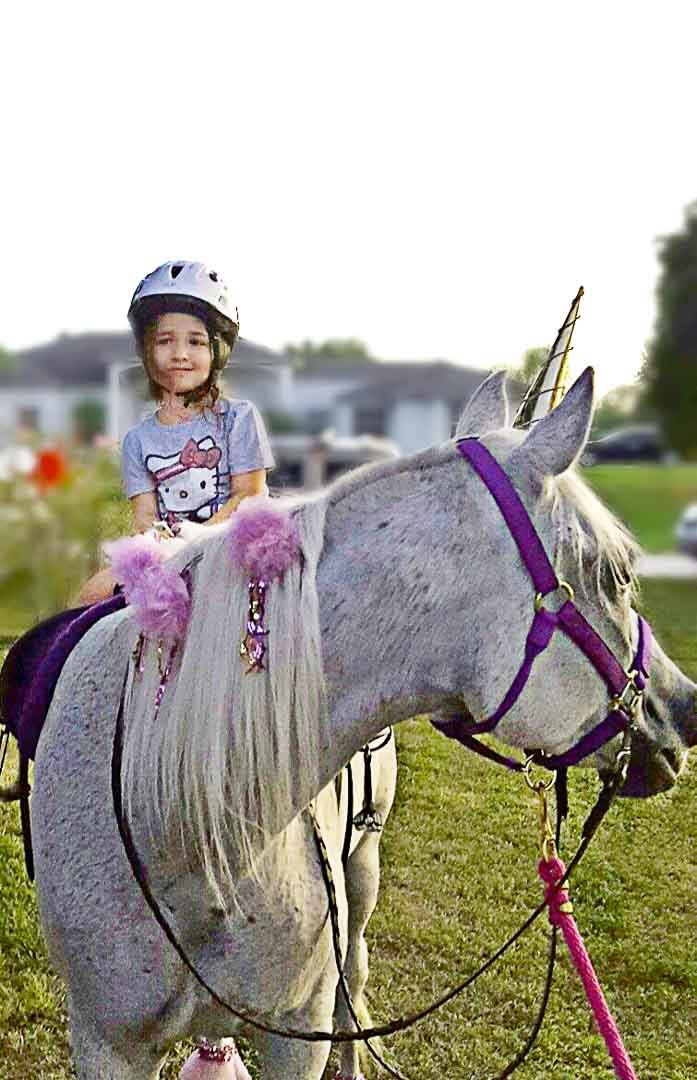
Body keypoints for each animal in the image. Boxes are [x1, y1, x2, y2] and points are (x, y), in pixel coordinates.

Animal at [31, 367, 697, 1079]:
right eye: (616, 572)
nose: (685, 709)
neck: (189, 834)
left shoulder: (298, 1034)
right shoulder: (107, 1044)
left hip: (362, 871)